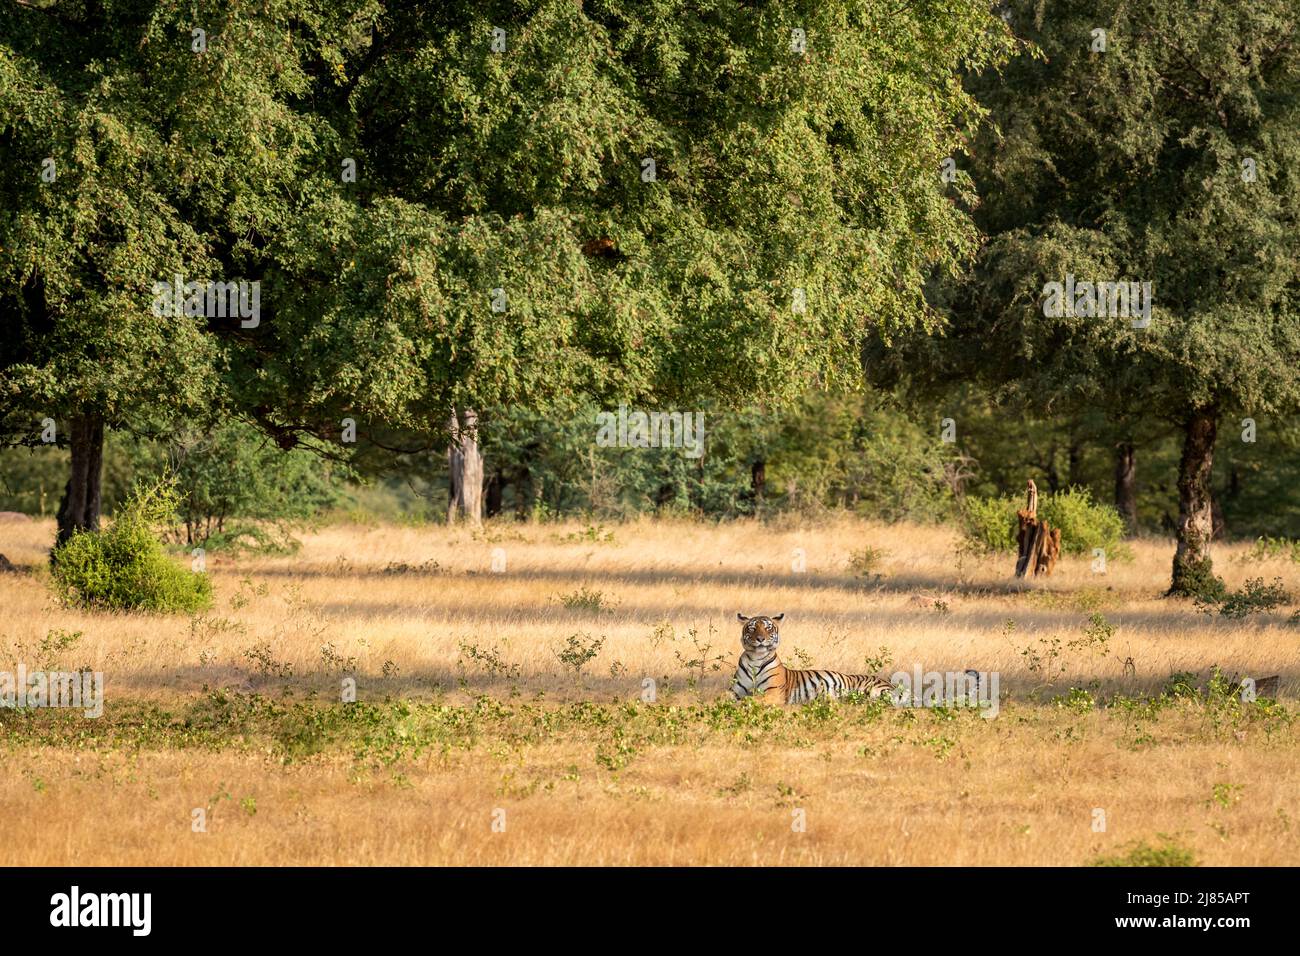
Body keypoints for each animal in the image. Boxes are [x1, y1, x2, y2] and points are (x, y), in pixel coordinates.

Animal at [730, 612, 895, 705]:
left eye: (768, 628)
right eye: (752, 628)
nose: (760, 639)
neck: (755, 660)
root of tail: (890, 684)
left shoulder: (773, 693)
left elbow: (750, 699)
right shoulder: (735, 690)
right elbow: (726, 697)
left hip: (872, 691)